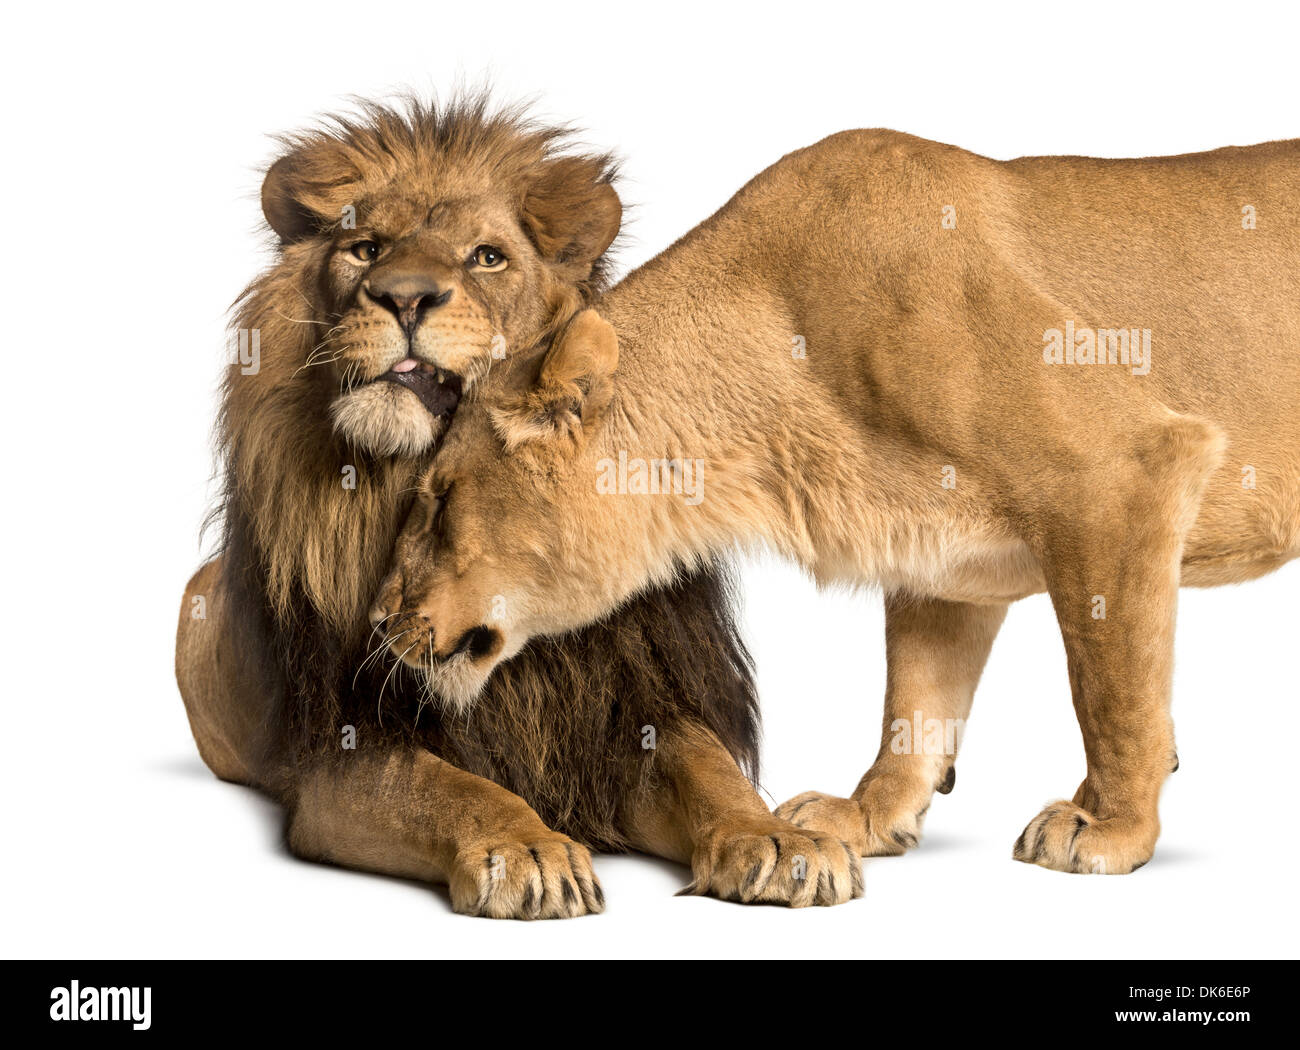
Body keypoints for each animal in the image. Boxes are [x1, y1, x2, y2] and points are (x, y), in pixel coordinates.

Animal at [175, 98, 865, 920]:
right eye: (364, 248)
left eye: (486, 258)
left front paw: (779, 838)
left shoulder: (630, 709)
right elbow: (448, 787)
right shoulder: (341, 748)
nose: (403, 296)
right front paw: (526, 848)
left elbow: (712, 773)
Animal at [372, 129, 1300, 877]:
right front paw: (867, 816)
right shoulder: (943, 560)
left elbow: (1113, 690)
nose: (378, 619)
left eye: (437, 503)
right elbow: (916, 704)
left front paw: (1110, 829)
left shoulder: (1124, 469)